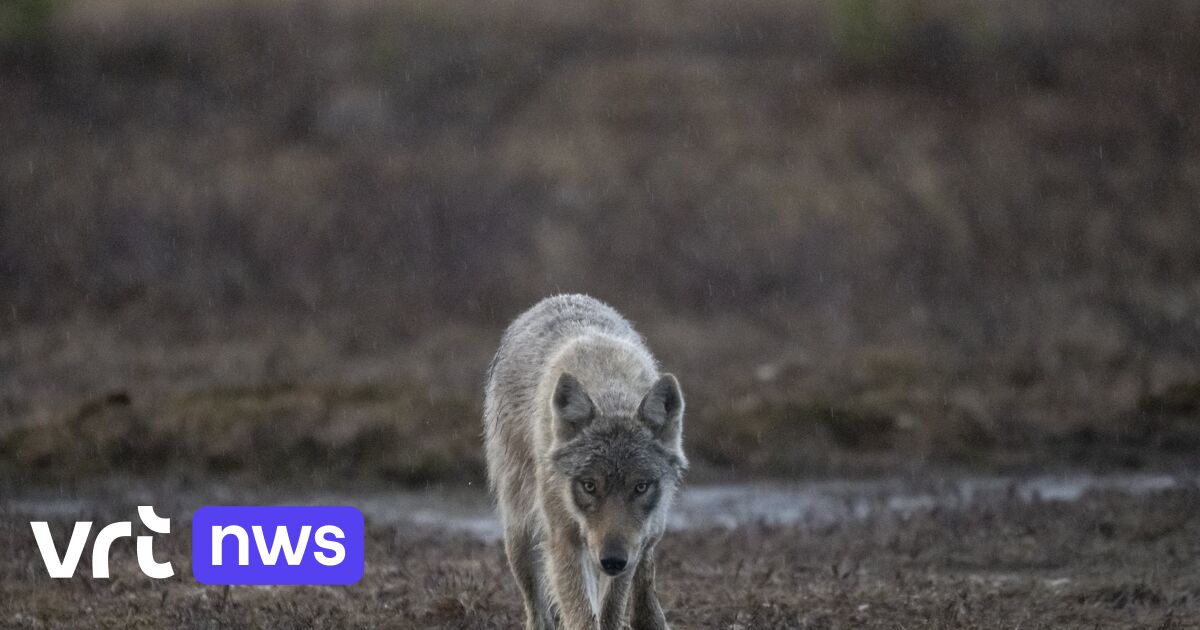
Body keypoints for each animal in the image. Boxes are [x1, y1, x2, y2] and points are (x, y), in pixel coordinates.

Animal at [484, 294, 687, 630]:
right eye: (589, 486)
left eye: (641, 486)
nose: (612, 560)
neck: (609, 391)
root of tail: (558, 297)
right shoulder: (564, 540)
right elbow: (581, 615)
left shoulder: (629, 547)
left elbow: (612, 609)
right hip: (520, 534)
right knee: (538, 609)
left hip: (652, 529)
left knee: (645, 573)